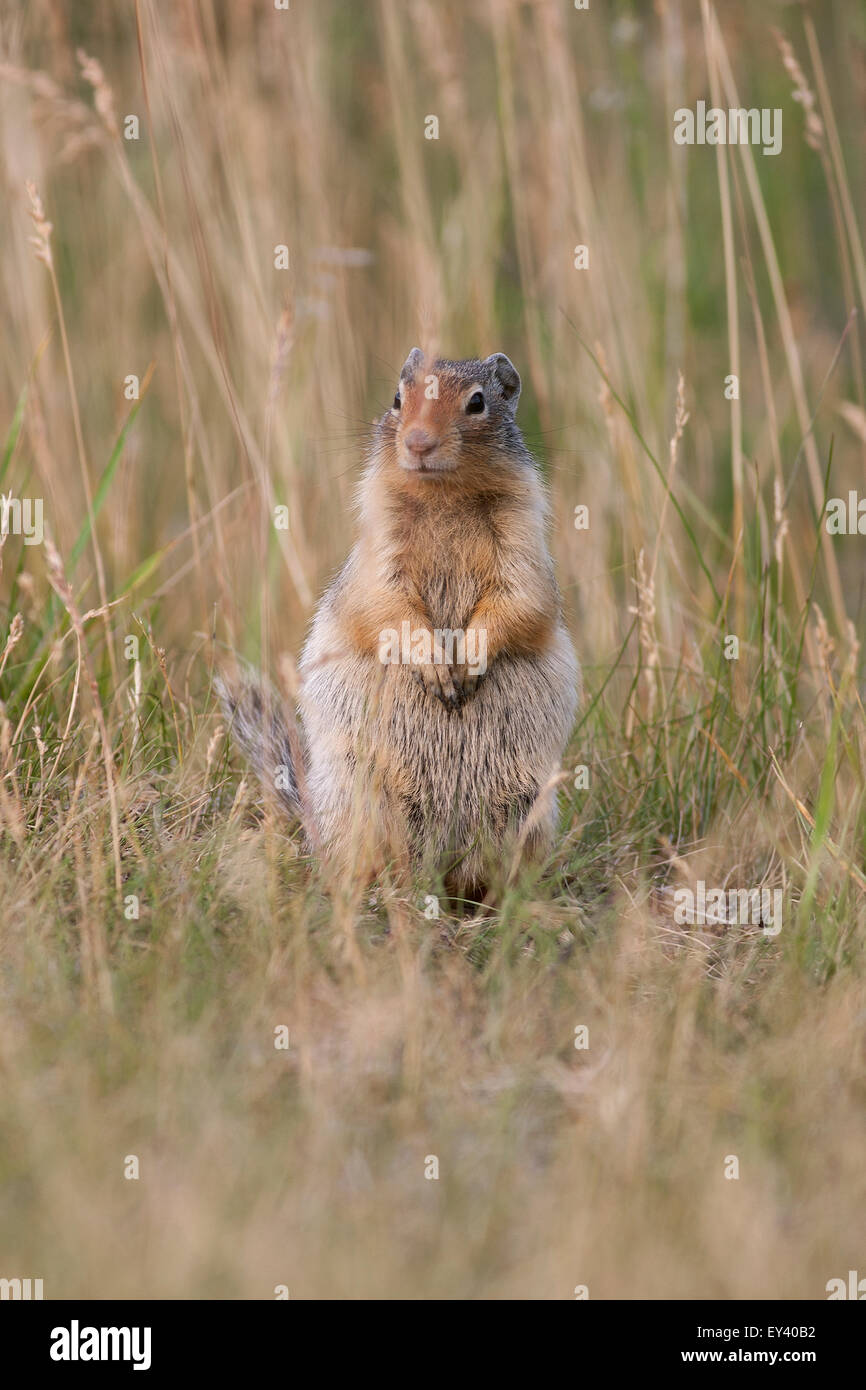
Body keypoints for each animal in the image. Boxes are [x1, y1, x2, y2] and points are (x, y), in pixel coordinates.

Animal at [220, 348, 579, 901]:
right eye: (396, 398)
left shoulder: (524, 546)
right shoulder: (377, 553)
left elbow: (520, 601)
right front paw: (436, 666)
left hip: (524, 808)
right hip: (366, 801)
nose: (418, 442)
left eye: (477, 402)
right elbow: (385, 606)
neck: (444, 494)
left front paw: (466, 660)